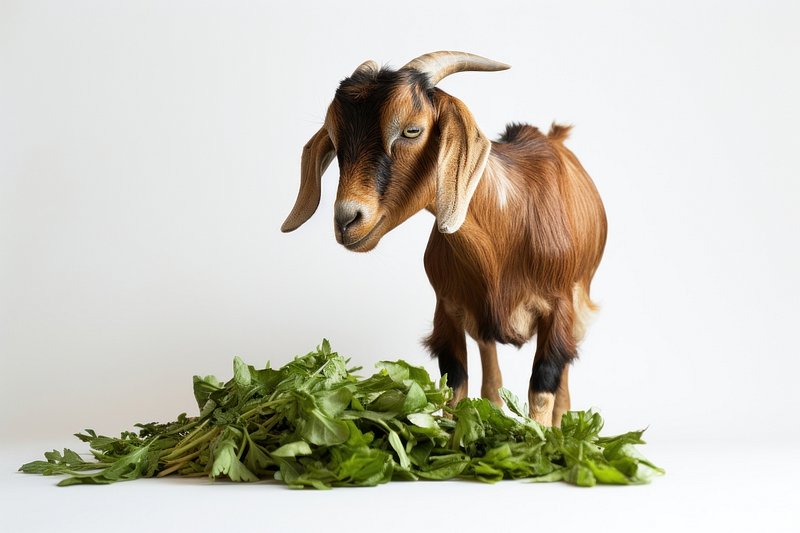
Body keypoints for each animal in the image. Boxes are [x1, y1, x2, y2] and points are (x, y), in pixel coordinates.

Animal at [282, 51, 607, 427]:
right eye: (334, 140)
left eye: (412, 130)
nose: (346, 219)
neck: (505, 232)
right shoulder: (448, 310)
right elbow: (455, 391)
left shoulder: (557, 309)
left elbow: (543, 392)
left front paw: (543, 437)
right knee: (492, 380)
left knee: (562, 383)